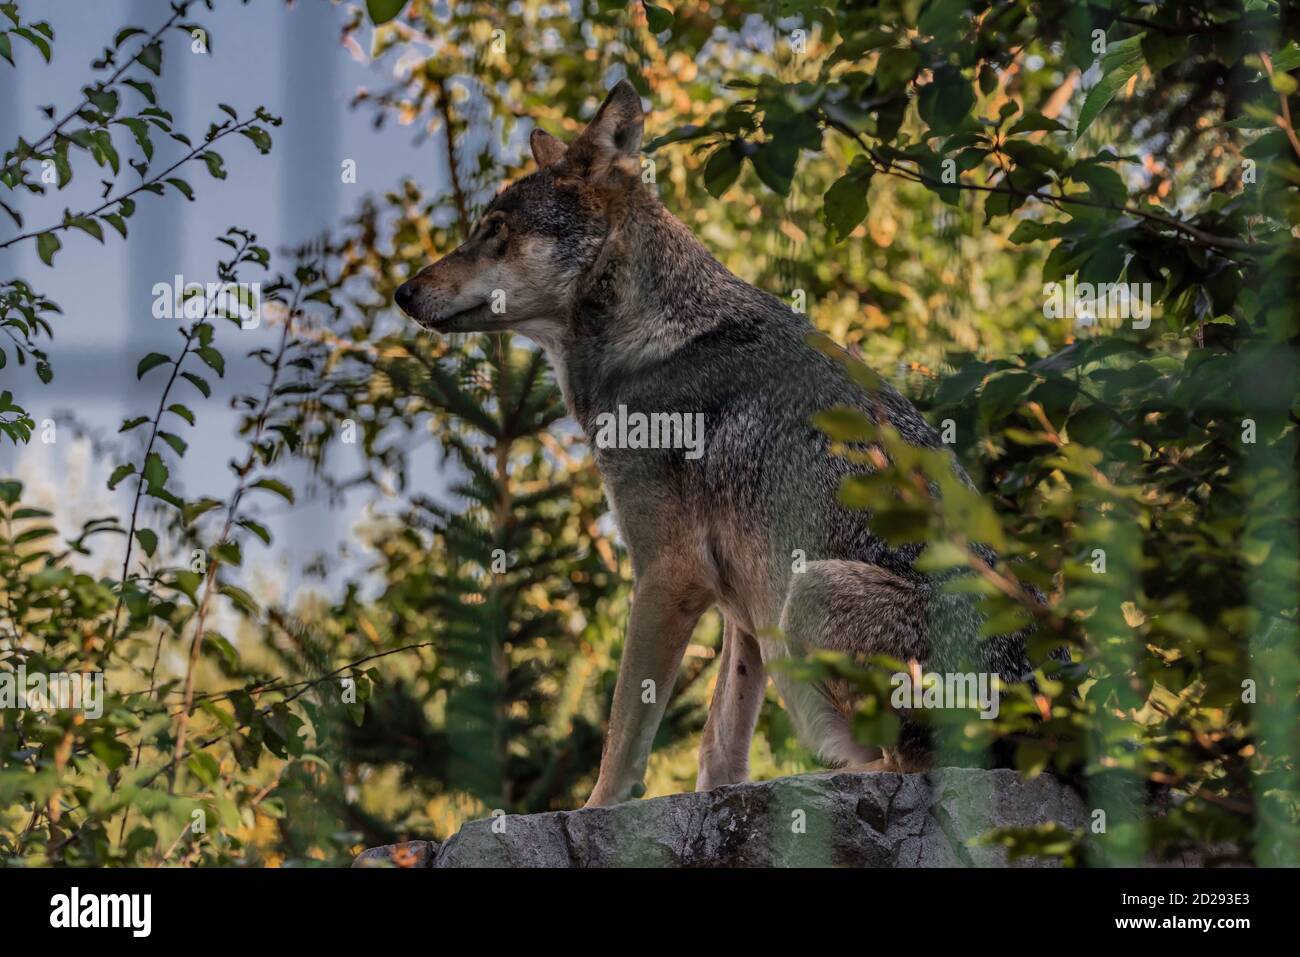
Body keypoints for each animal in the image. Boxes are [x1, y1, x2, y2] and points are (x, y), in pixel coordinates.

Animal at [395, 81, 1036, 807]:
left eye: (494, 231)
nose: (403, 292)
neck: (649, 338)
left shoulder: (670, 571)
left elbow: (624, 731)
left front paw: (596, 809)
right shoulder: (739, 603)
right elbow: (720, 741)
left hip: (812, 588)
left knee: (910, 765)